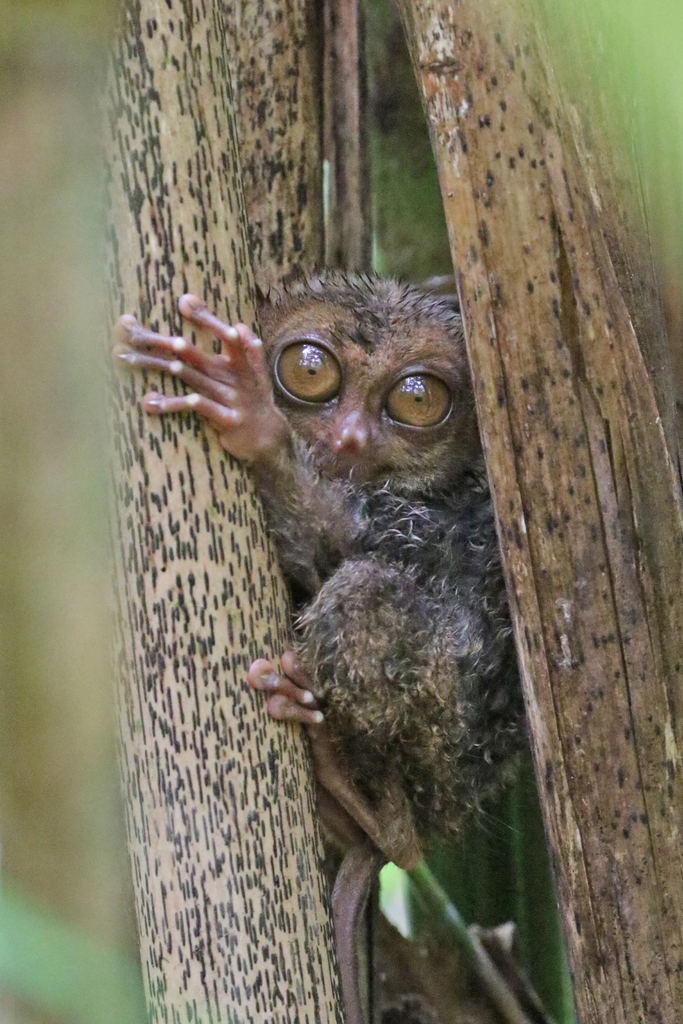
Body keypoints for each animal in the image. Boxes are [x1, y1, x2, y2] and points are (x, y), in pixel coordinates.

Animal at [114, 273, 525, 1022]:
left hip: (446, 753)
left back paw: (358, 790)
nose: (349, 437)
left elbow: (345, 544)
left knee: (366, 594)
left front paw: (253, 422)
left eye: (415, 400)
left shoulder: (456, 522)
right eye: (312, 372)